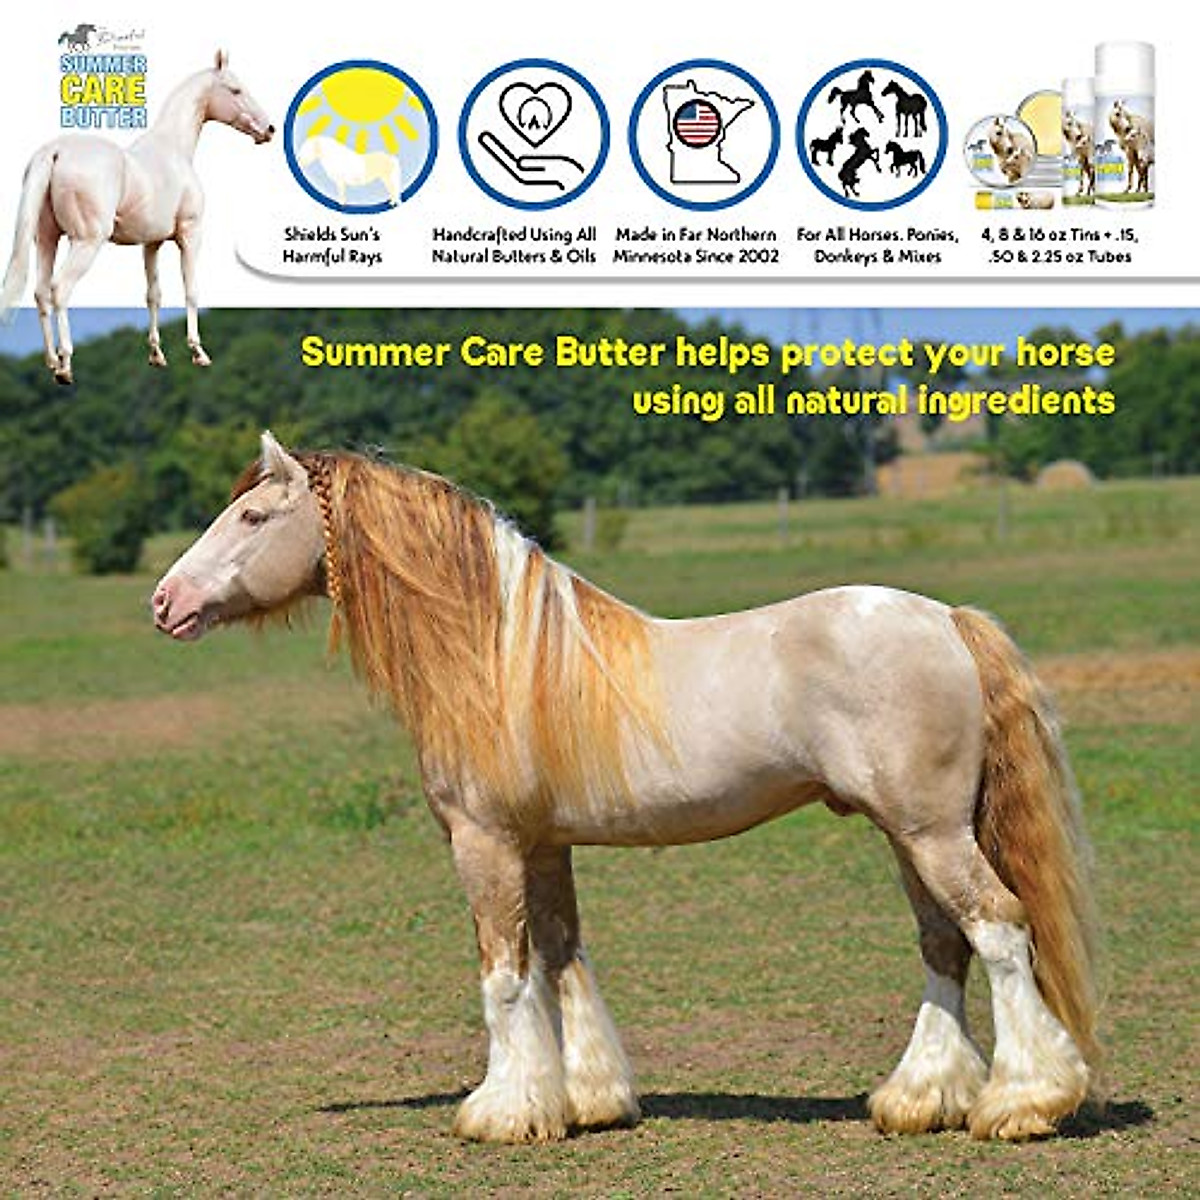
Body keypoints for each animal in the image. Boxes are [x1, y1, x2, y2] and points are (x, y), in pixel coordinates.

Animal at [0, 51, 272, 385]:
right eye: (235, 90)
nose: (269, 130)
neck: (173, 150)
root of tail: (56, 151)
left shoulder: (151, 243)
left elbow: (153, 294)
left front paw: (157, 355)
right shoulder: (190, 235)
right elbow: (191, 290)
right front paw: (198, 352)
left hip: (48, 239)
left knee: (40, 293)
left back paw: (52, 362)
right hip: (86, 241)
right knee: (59, 289)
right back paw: (65, 365)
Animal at [151, 431, 1102, 1146]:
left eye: (252, 515)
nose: (164, 602)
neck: (499, 657)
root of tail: (946, 619)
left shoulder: (485, 843)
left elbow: (503, 973)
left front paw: (501, 1112)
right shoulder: (544, 845)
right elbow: (560, 959)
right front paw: (586, 1100)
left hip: (931, 833)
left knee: (999, 930)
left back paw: (1022, 1103)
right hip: (911, 833)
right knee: (946, 945)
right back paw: (919, 1098)